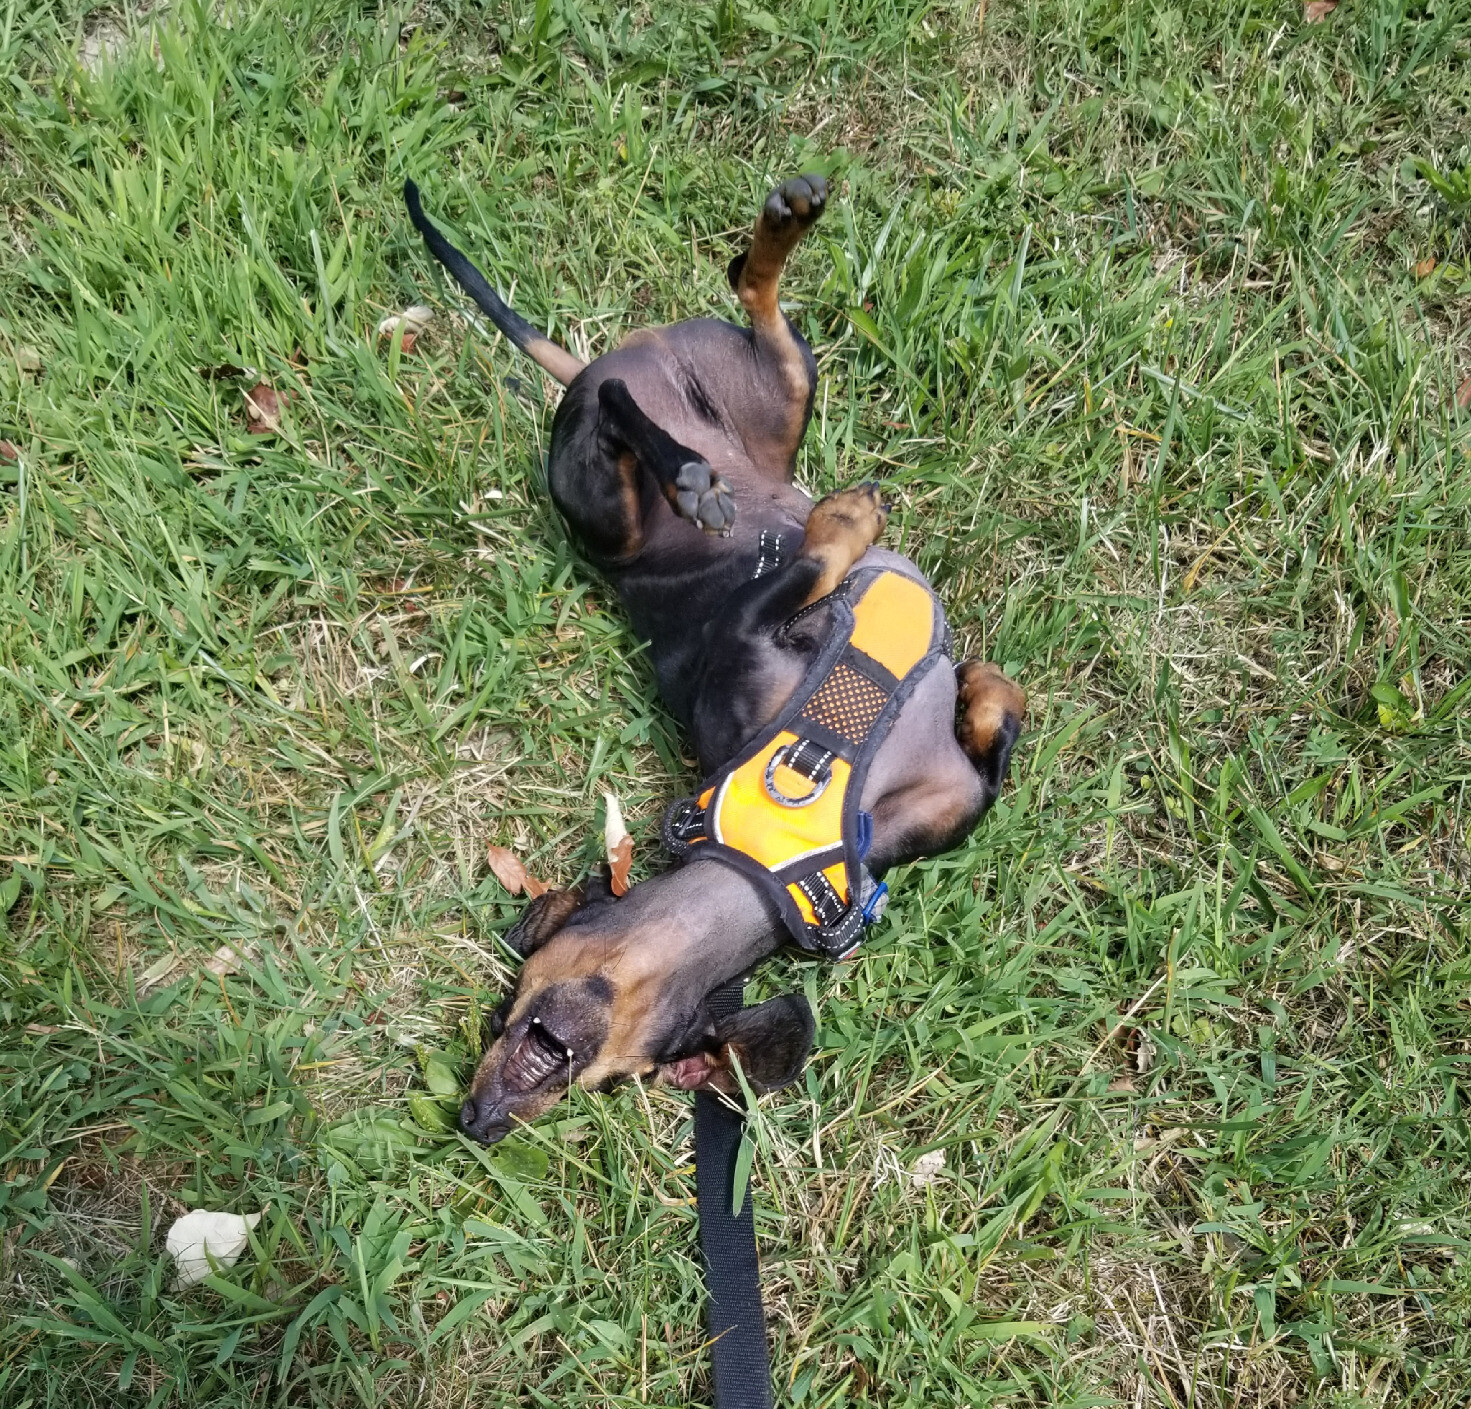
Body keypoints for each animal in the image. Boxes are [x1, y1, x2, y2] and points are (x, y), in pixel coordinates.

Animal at [403, 173, 1023, 1147]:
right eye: (630, 1077)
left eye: (539, 1039)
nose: (478, 1120)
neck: (767, 863)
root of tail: (603, 360)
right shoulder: (743, 634)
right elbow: (810, 564)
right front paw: (845, 530)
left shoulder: (951, 799)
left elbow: (996, 723)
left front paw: (977, 681)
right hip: (614, 505)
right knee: (630, 400)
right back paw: (703, 458)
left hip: (760, 408)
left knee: (721, 333)